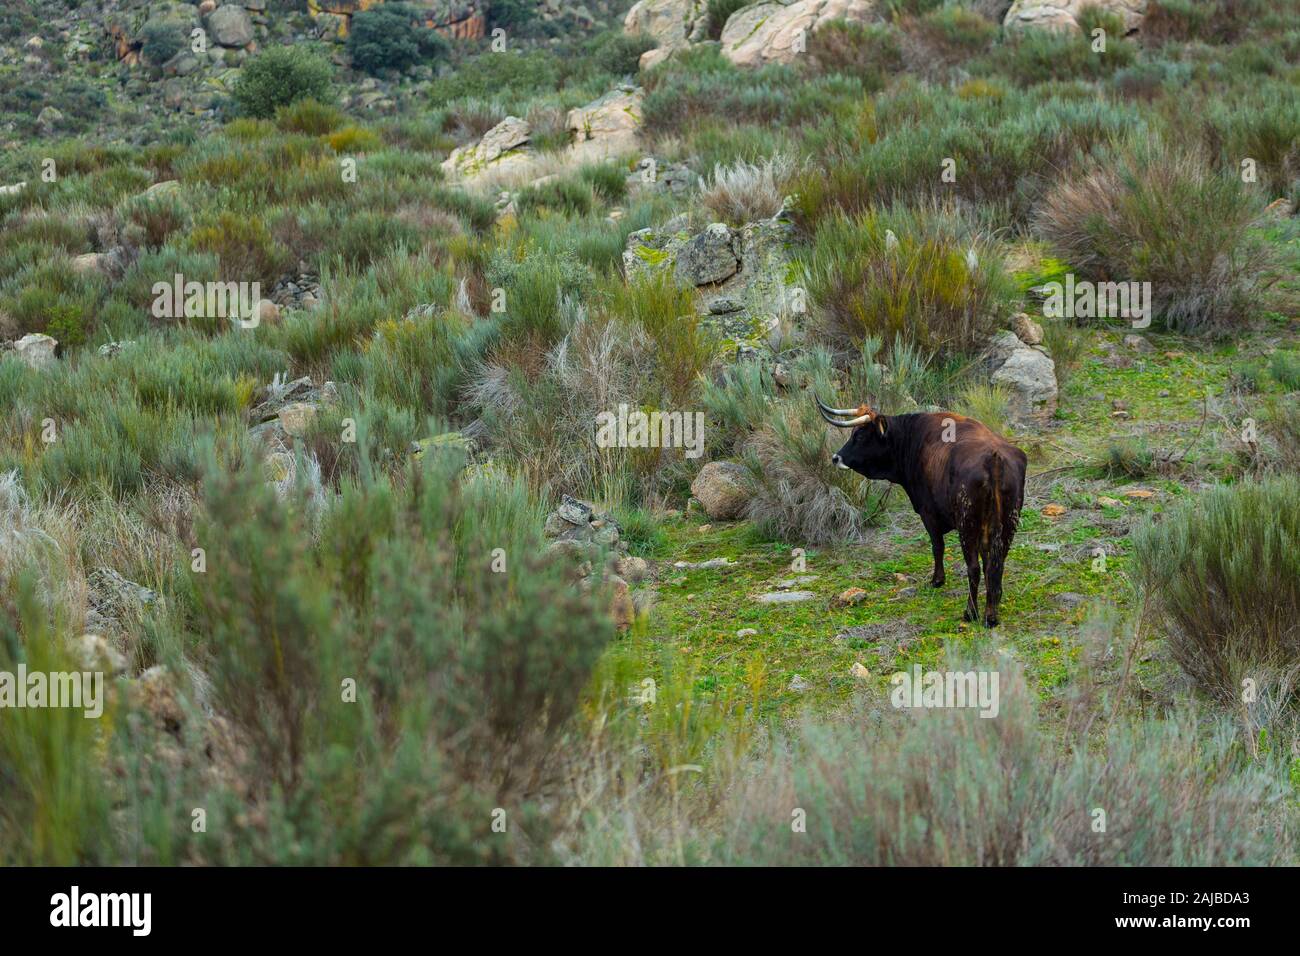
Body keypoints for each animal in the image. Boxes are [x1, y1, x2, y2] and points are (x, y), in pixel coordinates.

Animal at [816, 397, 1027, 627]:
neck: (913, 438)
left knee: (973, 568)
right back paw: (991, 615)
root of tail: (993, 458)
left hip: (967, 525)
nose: (836, 458)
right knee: (996, 565)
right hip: (1007, 524)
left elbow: (937, 547)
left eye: (861, 435)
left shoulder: (928, 514)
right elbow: (988, 561)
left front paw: (937, 580)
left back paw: (970, 612)